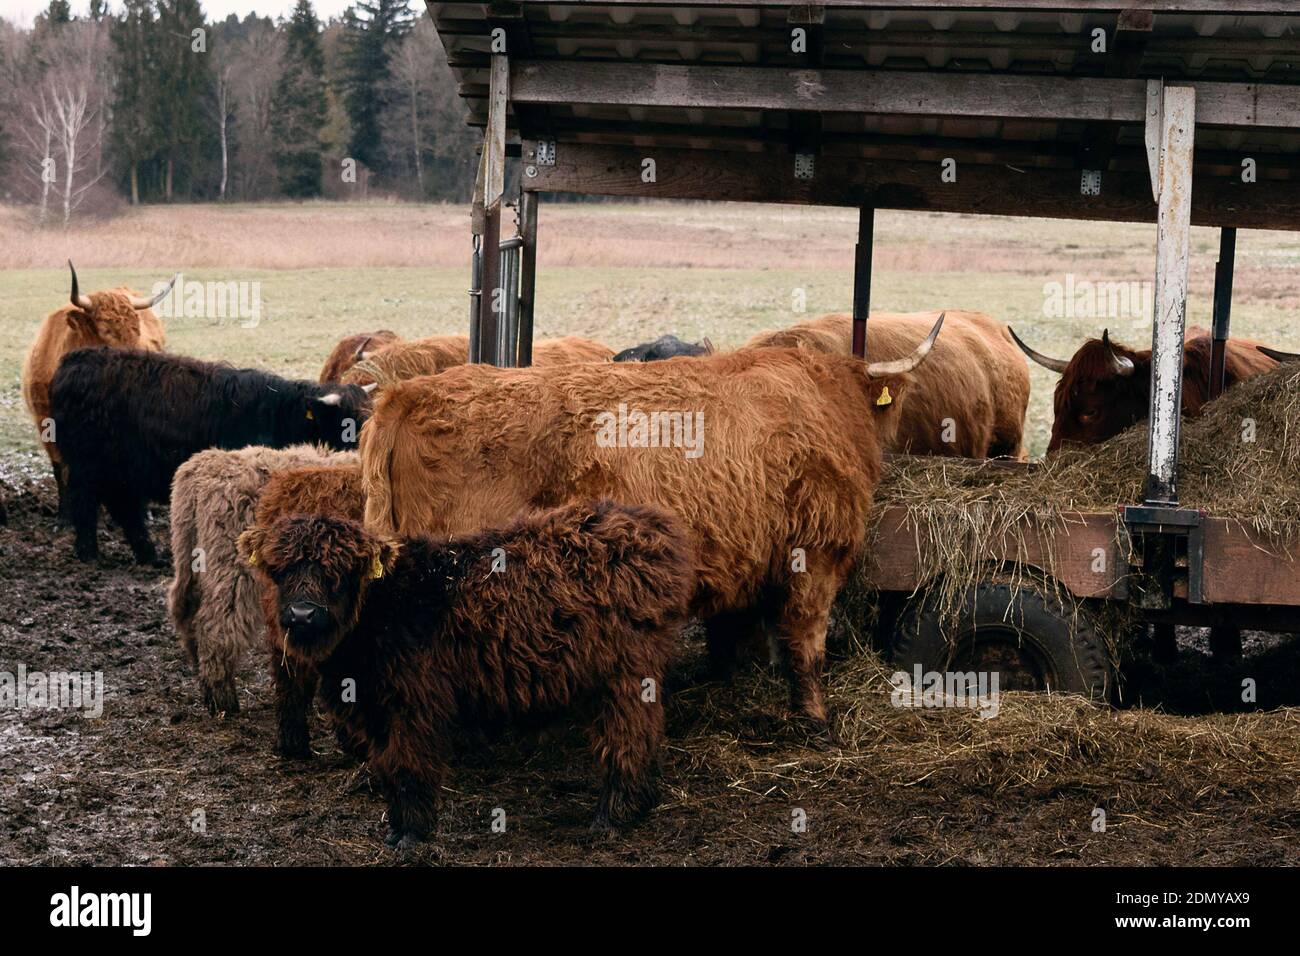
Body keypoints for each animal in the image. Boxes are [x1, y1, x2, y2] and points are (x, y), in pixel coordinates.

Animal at [49, 347, 373, 565]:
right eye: (348, 425)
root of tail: (74, 360)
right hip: (89, 467)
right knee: (86, 503)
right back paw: (90, 554)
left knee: (124, 508)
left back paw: (149, 556)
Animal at [167, 445, 358, 715]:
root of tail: (204, 463)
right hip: (234, 568)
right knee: (215, 625)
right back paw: (223, 702)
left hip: (188, 555)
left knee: (184, 612)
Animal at [239, 500, 693, 848]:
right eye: (282, 570)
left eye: (336, 573)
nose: (301, 614)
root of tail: (644, 527)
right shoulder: (375, 711)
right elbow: (386, 767)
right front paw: (397, 828)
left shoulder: (413, 705)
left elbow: (408, 765)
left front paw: (412, 835)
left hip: (625, 677)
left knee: (629, 737)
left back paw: (614, 815)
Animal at [360, 316, 945, 731]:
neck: (829, 405)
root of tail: (408, 393)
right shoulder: (814, 556)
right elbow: (807, 642)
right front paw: (816, 719)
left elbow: (740, 639)